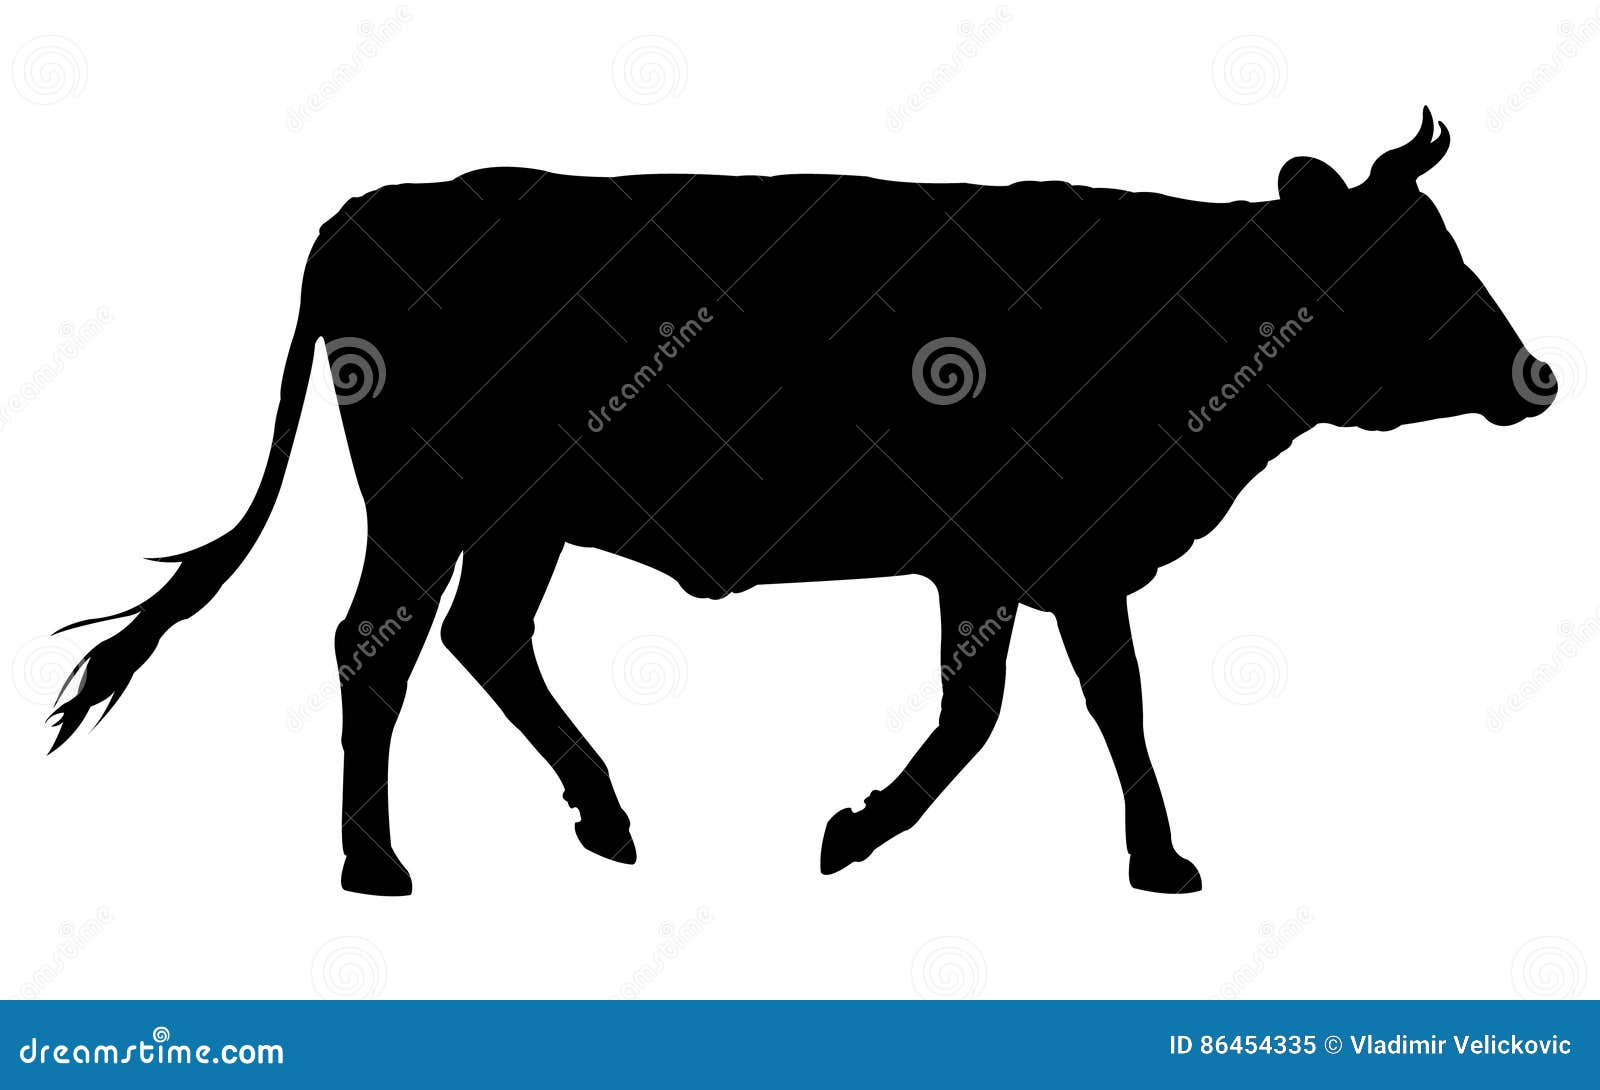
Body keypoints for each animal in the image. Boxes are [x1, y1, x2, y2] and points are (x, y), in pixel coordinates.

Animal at [49, 109, 1554, 896]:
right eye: (1403, 263)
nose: (1538, 374)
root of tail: (367, 208)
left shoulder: (1043, 557)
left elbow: (1081, 702)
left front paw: (1153, 856)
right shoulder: (1031, 547)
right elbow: (1004, 713)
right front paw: (860, 832)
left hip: (520, 516)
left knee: (484, 639)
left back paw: (603, 814)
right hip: (429, 498)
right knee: (377, 645)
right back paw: (376, 864)